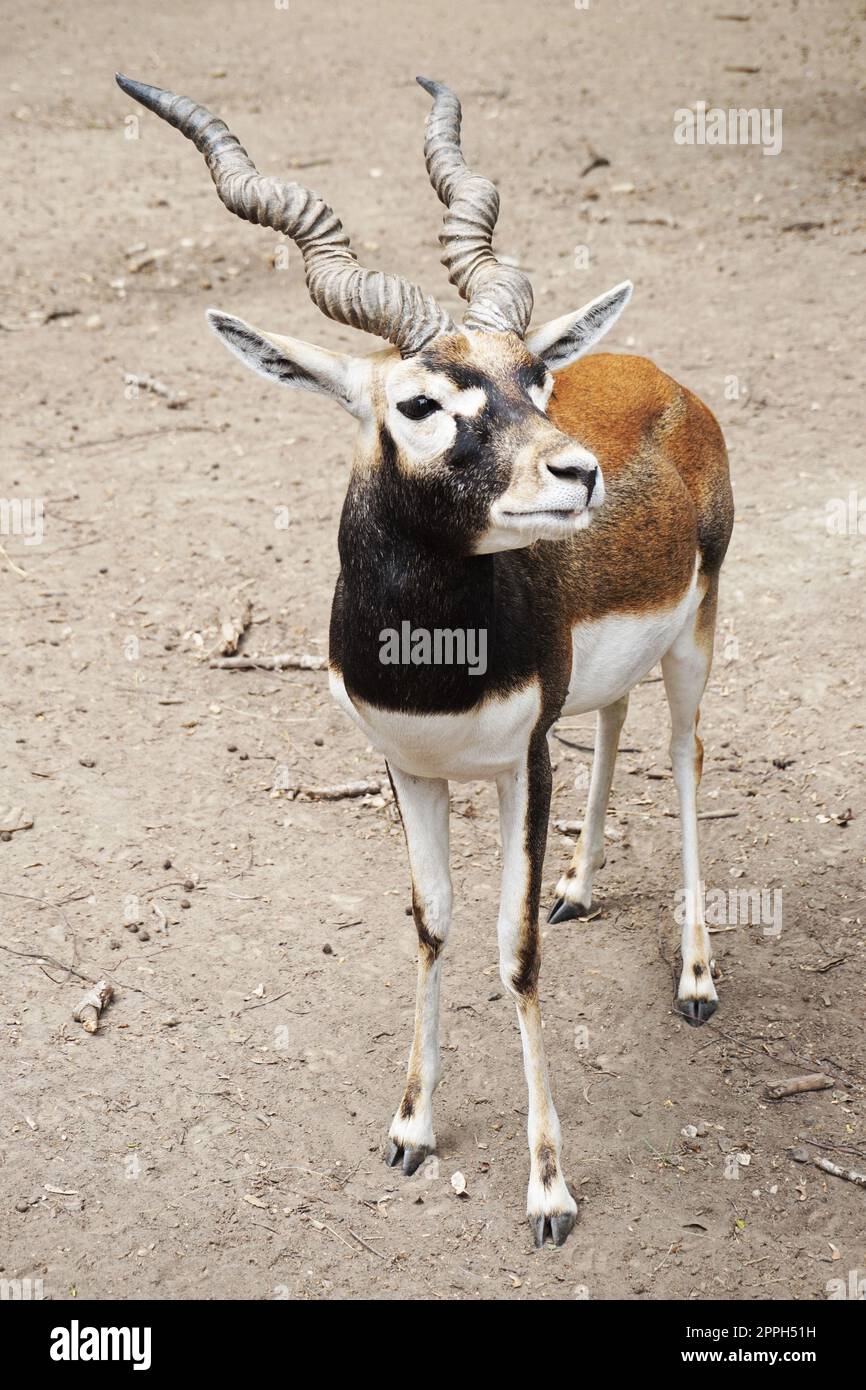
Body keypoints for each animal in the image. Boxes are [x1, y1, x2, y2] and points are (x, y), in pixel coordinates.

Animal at [116, 72, 734, 1247]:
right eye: (418, 403)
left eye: (536, 378)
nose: (575, 474)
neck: (435, 657)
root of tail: (651, 369)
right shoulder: (409, 768)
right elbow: (433, 926)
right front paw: (410, 1127)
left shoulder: (520, 764)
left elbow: (514, 950)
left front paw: (548, 1188)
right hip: (608, 674)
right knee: (615, 720)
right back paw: (582, 884)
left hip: (696, 636)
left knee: (681, 764)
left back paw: (694, 976)